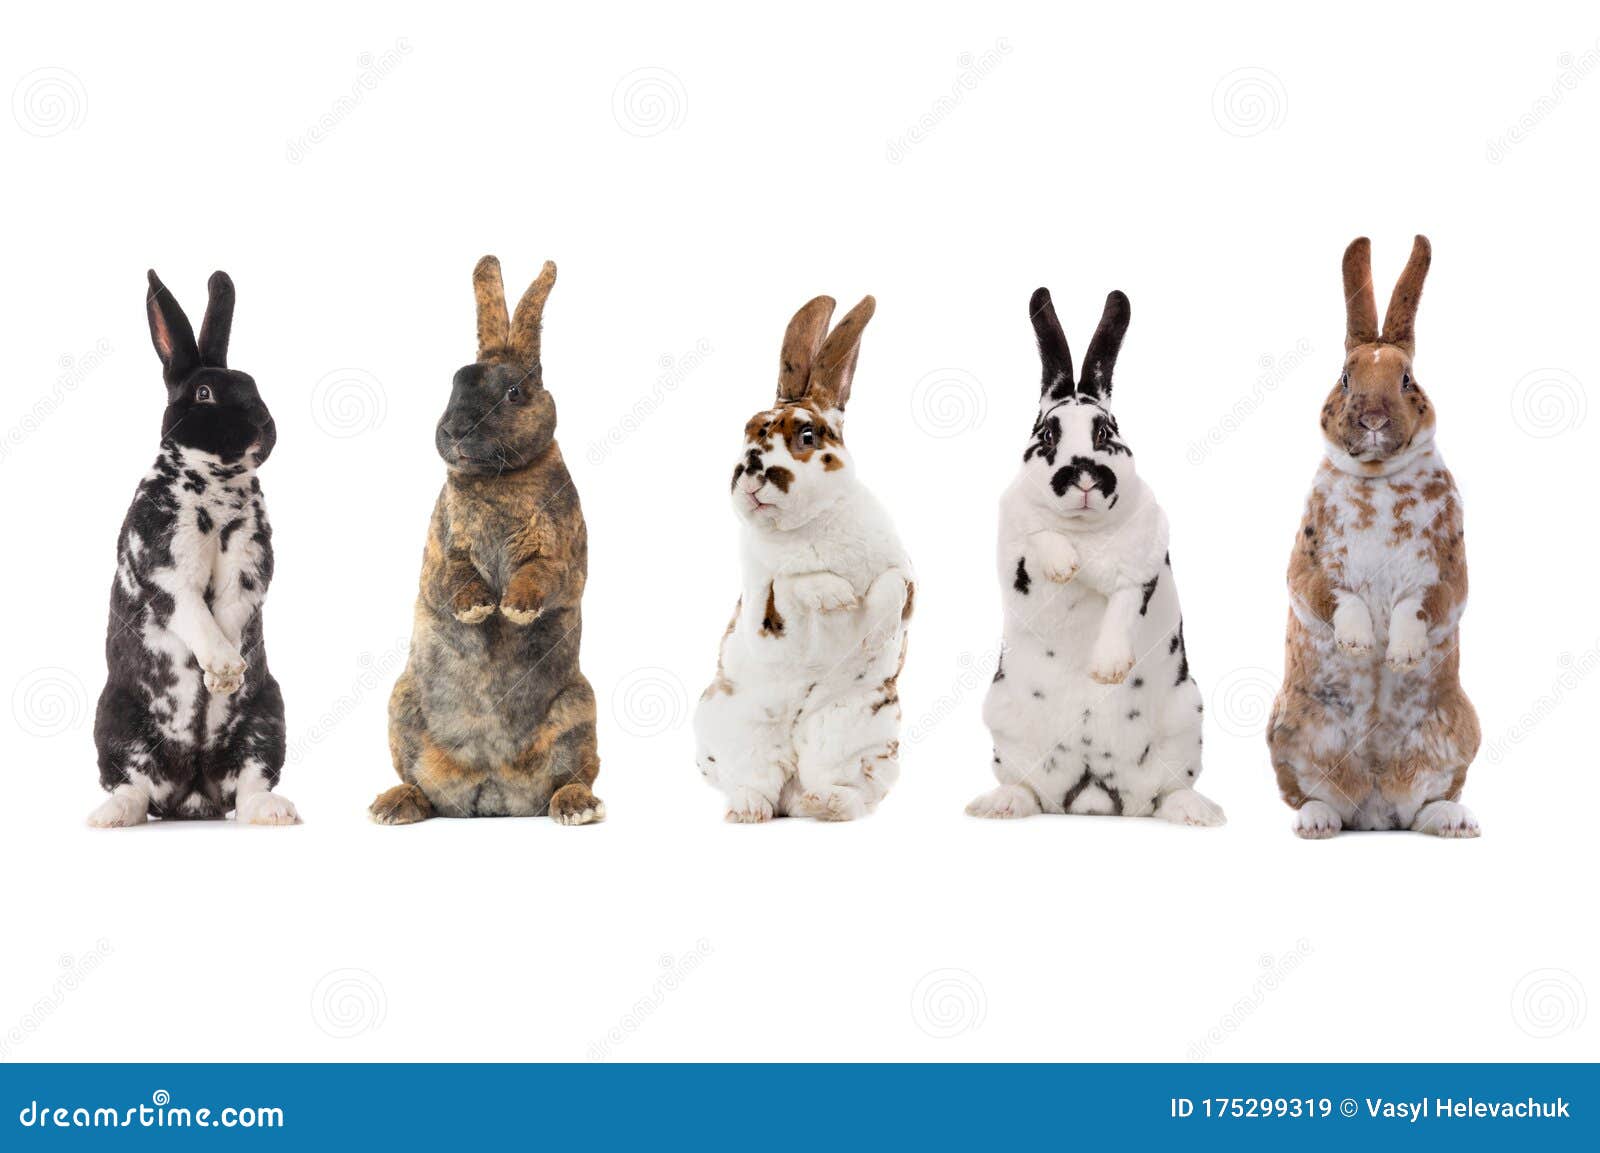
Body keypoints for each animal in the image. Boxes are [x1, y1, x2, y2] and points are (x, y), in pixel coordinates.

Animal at [90, 270, 297, 827]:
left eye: (254, 385)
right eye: (205, 393)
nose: (263, 427)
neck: (215, 482)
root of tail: (193, 794)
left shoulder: (249, 571)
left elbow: (228, 613)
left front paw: (227, 676)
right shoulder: (164, 567)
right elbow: (196, 616)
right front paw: (223, 669)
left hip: (267, 719)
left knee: (250, 785)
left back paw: (274, 812)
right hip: (115, 723)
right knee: (133, 787)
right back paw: (110, 815)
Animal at [370, 256, 603, 826]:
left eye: (514, 392)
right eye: (455, 383)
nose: (453, 430)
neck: (498, 477)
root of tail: (496, 789)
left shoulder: (560, 556)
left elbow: (539, 574)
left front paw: (514, 609)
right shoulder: (442, 553)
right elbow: (453, 578)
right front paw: (479, 608)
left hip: (579, 712)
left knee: (576, 776)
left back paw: (575, 806)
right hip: (402, 709)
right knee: (422, 787)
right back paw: (394, 805)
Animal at [694, 295, 914, 822]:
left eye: (808, 435)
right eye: (748, 430)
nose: (748, 475)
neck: (811, 524)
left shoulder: (908, 577)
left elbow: (891, 587)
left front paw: (873, 626)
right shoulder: (761, 606)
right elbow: (793, 582)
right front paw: (836, 596)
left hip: (863, 740)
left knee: (850, 793)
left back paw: (824, 802)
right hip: (733, 729)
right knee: (753, 784)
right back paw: (748, 809)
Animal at [966, 288, 1223, 827]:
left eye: (1106, 432)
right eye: (1048, 435)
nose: (1084, 475)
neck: (1084, 531)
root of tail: (1092, 796)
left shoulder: (1143, 566)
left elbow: (1123, 608)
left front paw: (1106, 670)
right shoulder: (1015, 542)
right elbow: (1040, 536)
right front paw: (1064, 565)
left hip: (1186, 722)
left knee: (1168, 793)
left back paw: (1196, 812)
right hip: (1003, 724)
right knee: (1028, 789)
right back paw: (999, 805)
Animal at [1267, 235, 1479, 839]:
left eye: (1407, 379)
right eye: (1345, 376)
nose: (1375, 418)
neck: (1380, 477)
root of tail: (1378, 806)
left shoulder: (1447, 571)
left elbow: (1420, 605)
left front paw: (1401, 654)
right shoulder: (1309, 564)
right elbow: (1333, 597)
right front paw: (1361, 644)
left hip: (1460, 732)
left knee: (1430, 801)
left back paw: (1455, 821)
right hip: (1287, 730)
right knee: (1309, 796)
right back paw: (1317, 823)